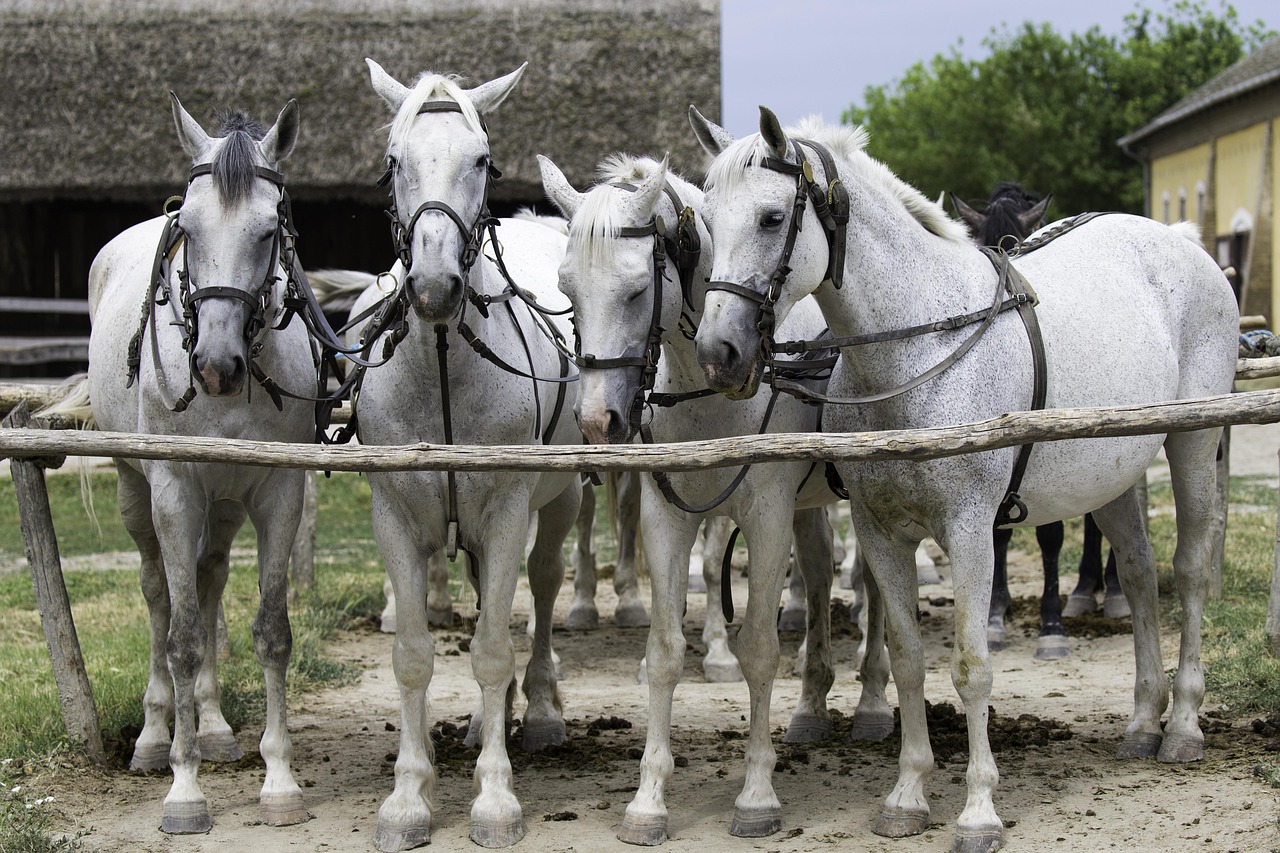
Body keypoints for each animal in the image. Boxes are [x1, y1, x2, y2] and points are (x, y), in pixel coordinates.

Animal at [81, 96, 314, 833]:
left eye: (268, 231)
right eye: (188, 227)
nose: (215, 366)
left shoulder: (277, 491)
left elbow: (270, 631)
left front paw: (279, 780)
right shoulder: (177, 491)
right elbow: (181, 636)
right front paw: (183, 791)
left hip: (227, 501)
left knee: (208, 581)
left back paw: (210, 727)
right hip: (139, 494)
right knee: (160, 595)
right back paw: (158, 737)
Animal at [354, 60, 583, 851]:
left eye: (480, 160)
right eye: (394, 161)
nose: (433, 288)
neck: (446, 365)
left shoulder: (508, 510)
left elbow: (490, 647)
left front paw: (494, 797)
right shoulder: (394, 517)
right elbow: (413, 654)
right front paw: (407, 796)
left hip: (562, 499)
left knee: (539, 591)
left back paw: (535, 713)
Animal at [539, 151, 857, 844]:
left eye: (637, 290)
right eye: (568, 291)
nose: (598, 421)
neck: (710, 390)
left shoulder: (765, 518)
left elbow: (760, 649)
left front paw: (757, 796)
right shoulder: (667, 518)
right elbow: (663, 654)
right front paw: (648, 800)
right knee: (821, 571)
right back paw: (813, 707)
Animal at [689, 106, 1237, 852]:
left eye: (773, 218)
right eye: (709, 218)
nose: (719, 353)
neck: (919, 342)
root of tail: (1184, 247)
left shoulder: (971, 529)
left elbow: (972, 664)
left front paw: (978, 811)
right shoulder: (880, 532)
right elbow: (908, 657)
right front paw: (908, 795)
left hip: (1191, 443)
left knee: (1188, 569)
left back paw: (1180, 726)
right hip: (1114, 471)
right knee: (1141, 573)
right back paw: (1140, 723)